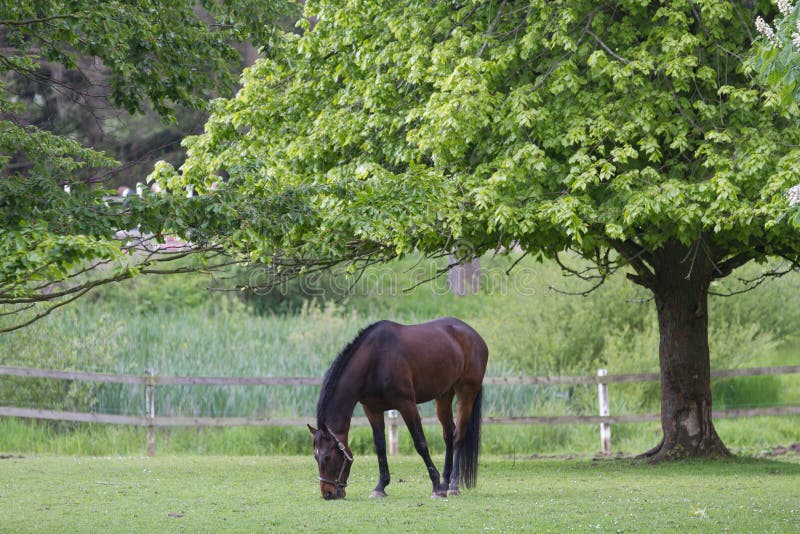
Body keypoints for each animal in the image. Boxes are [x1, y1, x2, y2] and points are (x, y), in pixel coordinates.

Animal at [308, 317, 489, 499]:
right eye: (315, 456)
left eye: (327, 457)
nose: (328, 493)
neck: (375, 360)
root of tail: (474, 336)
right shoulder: (372, 410)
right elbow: (380, 446)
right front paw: (380, 486)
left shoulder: (407, 405)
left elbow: (420, 444)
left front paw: (436, 485)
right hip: (444, 395)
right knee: (449, 434)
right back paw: (446, 483)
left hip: (466, 393)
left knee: (459, 436)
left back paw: (452, 485)